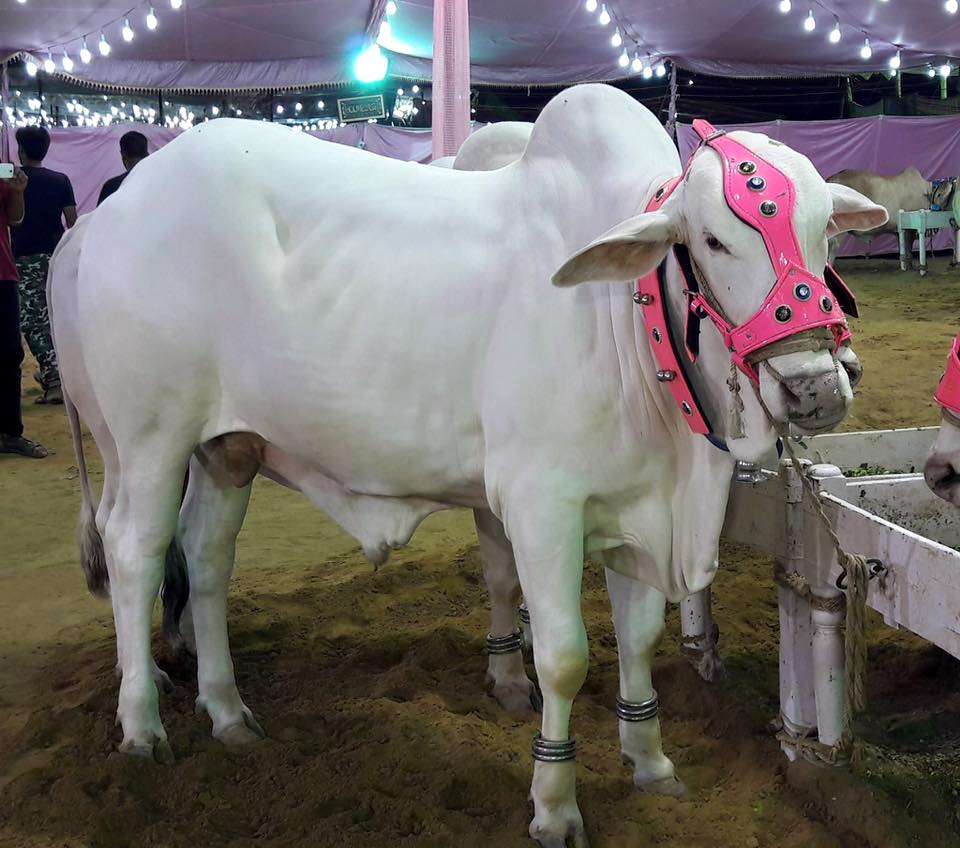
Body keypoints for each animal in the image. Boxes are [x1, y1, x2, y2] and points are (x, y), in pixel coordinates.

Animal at [49, 83, 884, 847]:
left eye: (824, 234)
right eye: (712, 240)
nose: (815, 386)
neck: (624, 324)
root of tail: (107, 215)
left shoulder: (637, 508)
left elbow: (638, 639)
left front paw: (650, 761)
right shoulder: (542, 509)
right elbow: (562, 657)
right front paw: (554, 804)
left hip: (228, 449)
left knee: (207, 557)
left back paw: (226, 709)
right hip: (148, 441)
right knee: (135, 554)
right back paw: (142, 724)